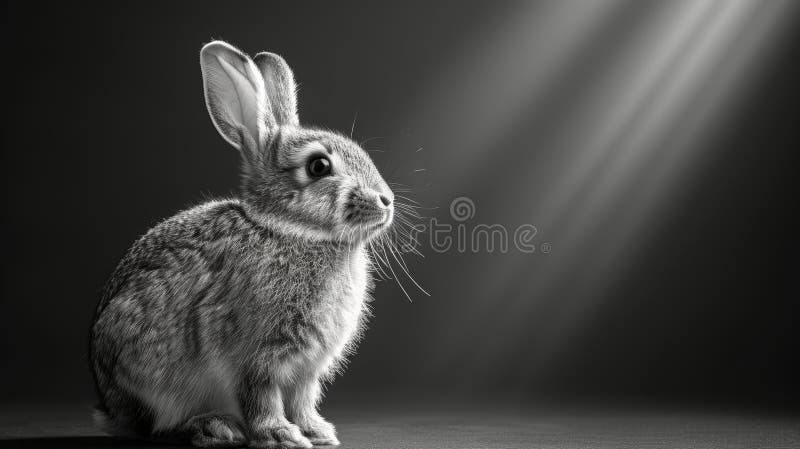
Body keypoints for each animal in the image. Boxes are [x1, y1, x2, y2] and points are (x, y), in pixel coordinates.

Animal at [89, 40, 394, 448]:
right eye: (318, 166)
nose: (387, 201)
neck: (290, 230)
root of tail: (112, 411)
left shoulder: (307, 367)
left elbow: (303, 398)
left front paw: (317, 431)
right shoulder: (255, 358)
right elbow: (261, 397)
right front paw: (281, 435)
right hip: (149, 373)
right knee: (161, 425)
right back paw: (214, 426)